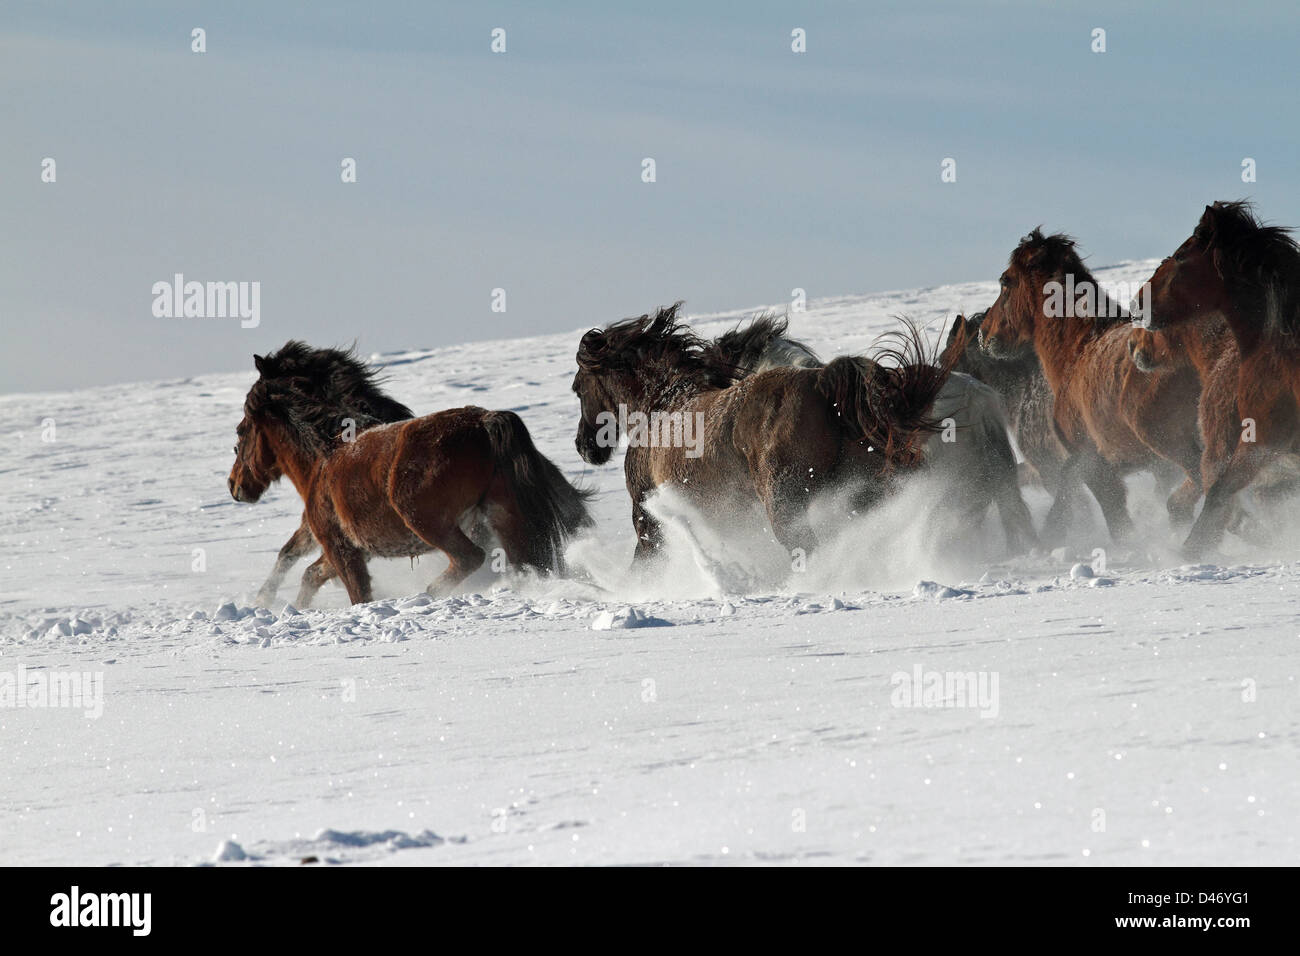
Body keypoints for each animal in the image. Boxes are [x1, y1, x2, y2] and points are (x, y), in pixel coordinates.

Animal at [230, 368, 593, 605]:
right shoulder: (347, 549)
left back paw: (429, 594)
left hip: (427, 521)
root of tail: (485, 420)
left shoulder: (341, 549)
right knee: (526, 563)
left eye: (241, 432)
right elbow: (310, 575)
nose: (235, 486)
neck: (322, 461)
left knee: (469, 557)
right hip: (505, 518)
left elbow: (356, 593)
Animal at [571, 303, 952, 566]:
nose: (584, 446)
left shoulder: (646, 516)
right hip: (868, 492)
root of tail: (822, 382)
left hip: (785, 503)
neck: (662, 401)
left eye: (577, 388)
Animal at [978, 229, 1204, 547]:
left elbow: (1116, 519)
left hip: (1174, 444)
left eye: (1005, 281)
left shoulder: (1097, 467)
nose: (984, 335)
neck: (1078, 349)